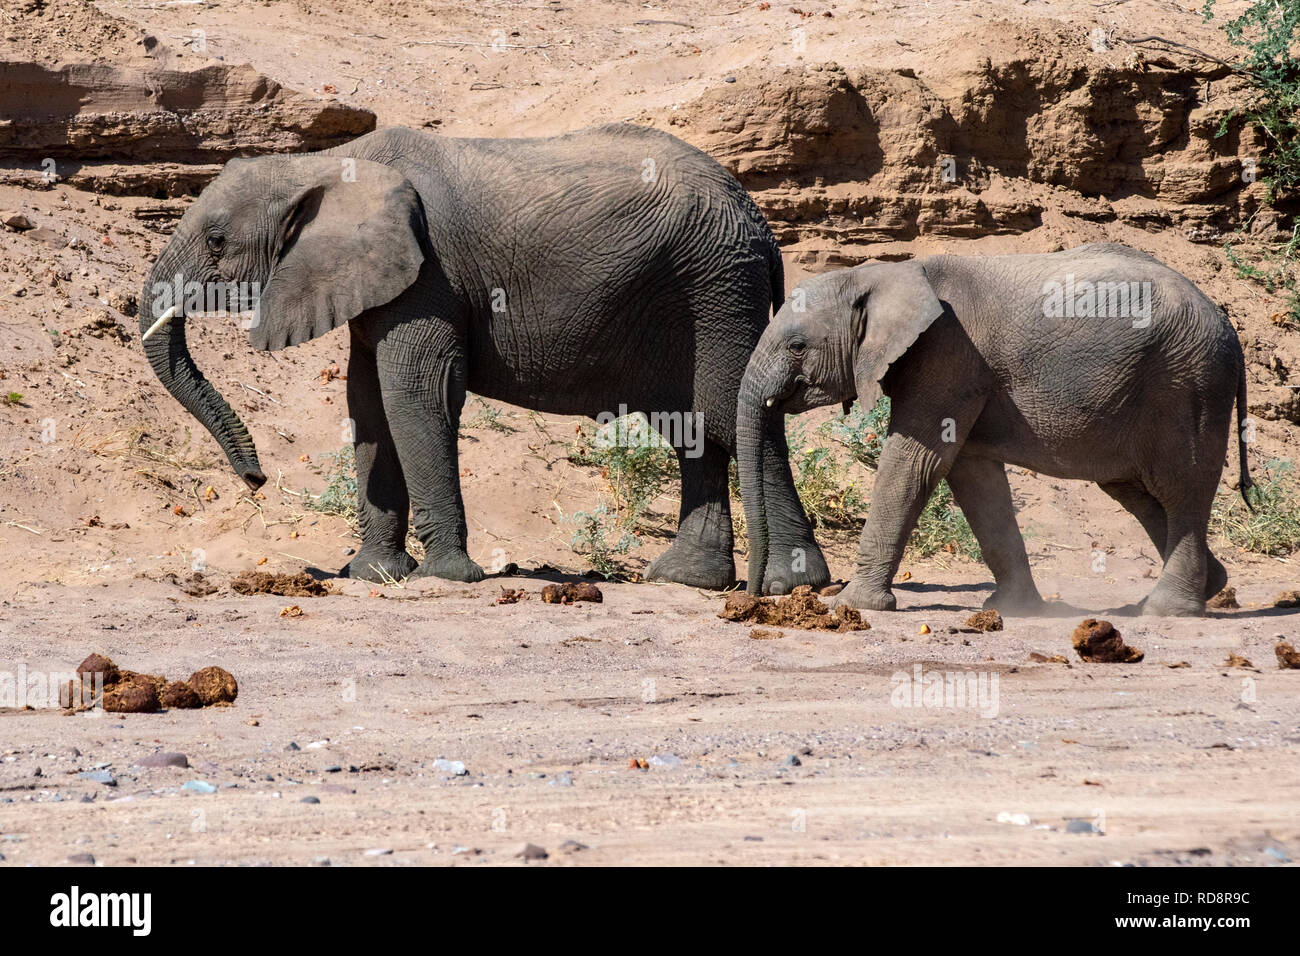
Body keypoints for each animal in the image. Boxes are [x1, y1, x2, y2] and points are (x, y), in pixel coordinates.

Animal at [138, 123, 830, 590]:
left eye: (216, 241)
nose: (255, 480)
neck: (324, 165)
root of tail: (764, 230)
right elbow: (367, 406)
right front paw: (372, 575)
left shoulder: (429, 276)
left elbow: (416, 394)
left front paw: (444, 578)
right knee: (696, 428)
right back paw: (688, 581)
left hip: (718, 290)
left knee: (734, 416)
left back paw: (792, 587)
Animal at [737, 242, 1253, 617]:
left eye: (797, 346)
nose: (757, 593)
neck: (883, 273)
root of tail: (1226, 321)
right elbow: (973, 476)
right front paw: (1013, 609)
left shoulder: (948, 356)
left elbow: (915, 462)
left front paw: (853, 606)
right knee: (1136, 491)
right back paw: (1204, 588)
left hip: (1188, 384)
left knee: (1180, 488)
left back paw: (1167, 610)